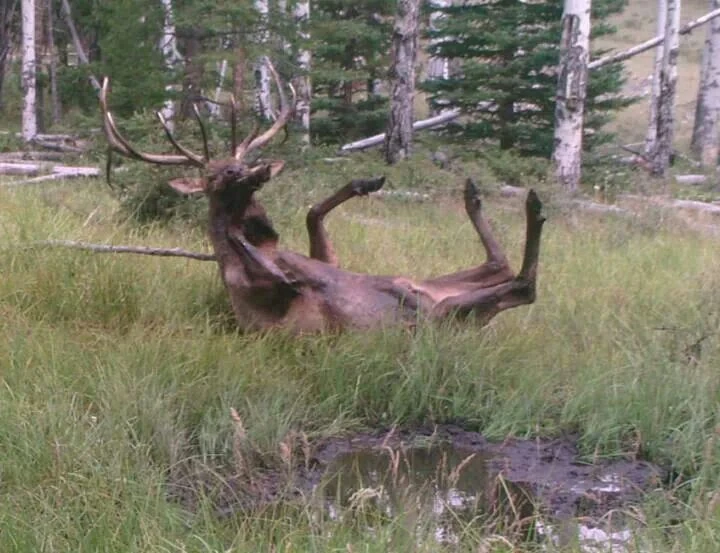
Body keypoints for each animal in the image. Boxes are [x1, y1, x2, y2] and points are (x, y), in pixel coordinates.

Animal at [99, 61, 546, 334]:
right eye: (214, 175)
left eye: (240, 160)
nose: (253, 171)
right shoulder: (263, 304)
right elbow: (260, 258)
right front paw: (238, 237)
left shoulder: (322, 260)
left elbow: (312, 214)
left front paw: (365, 182)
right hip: (441, 315)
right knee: (521, 286)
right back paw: (530, 206)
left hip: (425, 284)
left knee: (501, 265)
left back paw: (478, 196)